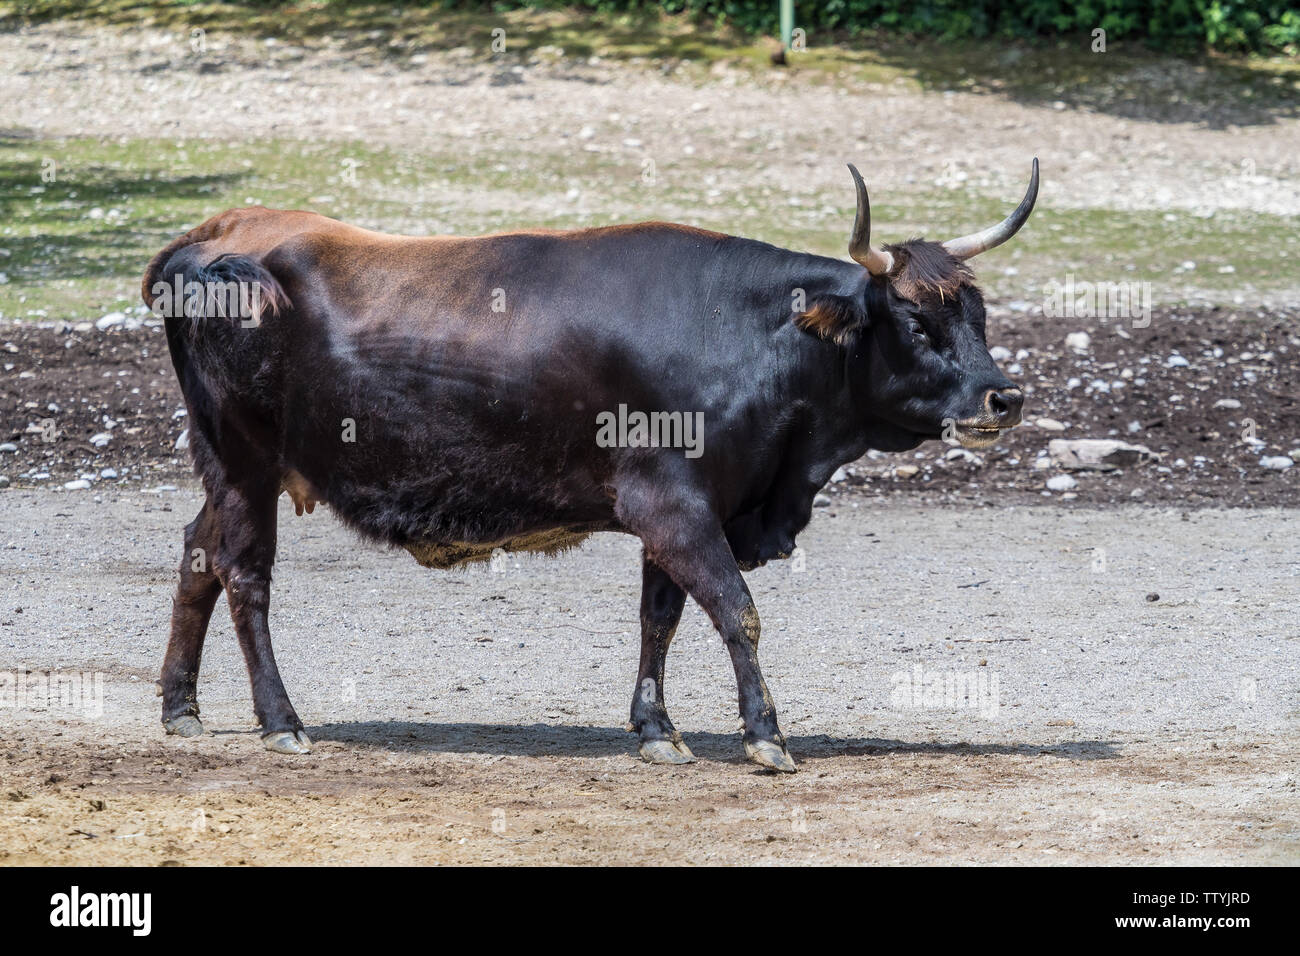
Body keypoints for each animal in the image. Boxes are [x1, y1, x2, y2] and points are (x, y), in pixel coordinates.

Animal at [143, 160, 1038, 772]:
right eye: (916, 321)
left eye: (978, 313)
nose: (1003, 398)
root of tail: (216, 236)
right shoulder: (674, 506)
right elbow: (736, 612)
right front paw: (765, 734)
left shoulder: (686, 513)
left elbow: (659, 619)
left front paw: (656, 730)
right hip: (245, 461)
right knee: (244, 574)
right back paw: (281, 720)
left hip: (229, 468)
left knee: (198, 556)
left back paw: (181, 707)